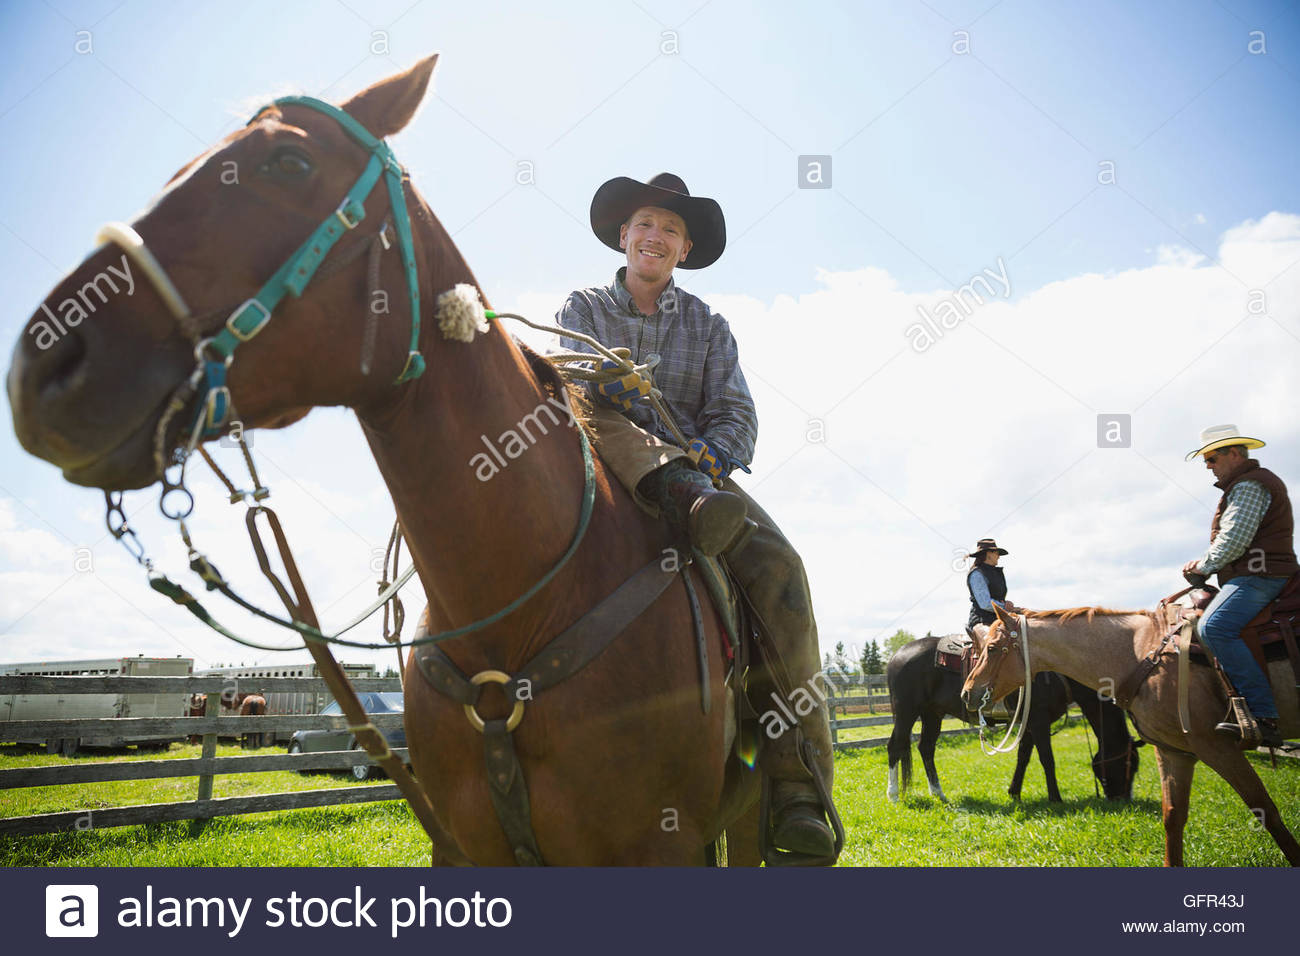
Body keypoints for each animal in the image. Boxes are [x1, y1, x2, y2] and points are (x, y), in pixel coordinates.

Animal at [886, 634, 1142, 803]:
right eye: (1128, 763)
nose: (1123, 799)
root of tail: (897, 655)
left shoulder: (1029, 723)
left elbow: (1023, 757)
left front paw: (1014, 792)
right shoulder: (1039, 721)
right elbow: (1047, 759)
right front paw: (1055, 798)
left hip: (932, 714)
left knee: (926, 748)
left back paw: (939, 794)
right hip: (907, 712)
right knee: (895, 746)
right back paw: (894, 796)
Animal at [962, 603, 1300, 866]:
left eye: (992, 648)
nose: (968, 692)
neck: (1140, 656)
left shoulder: (1213, 746)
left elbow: (1262, 809)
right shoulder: (1178, 751)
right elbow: (1174, 816)